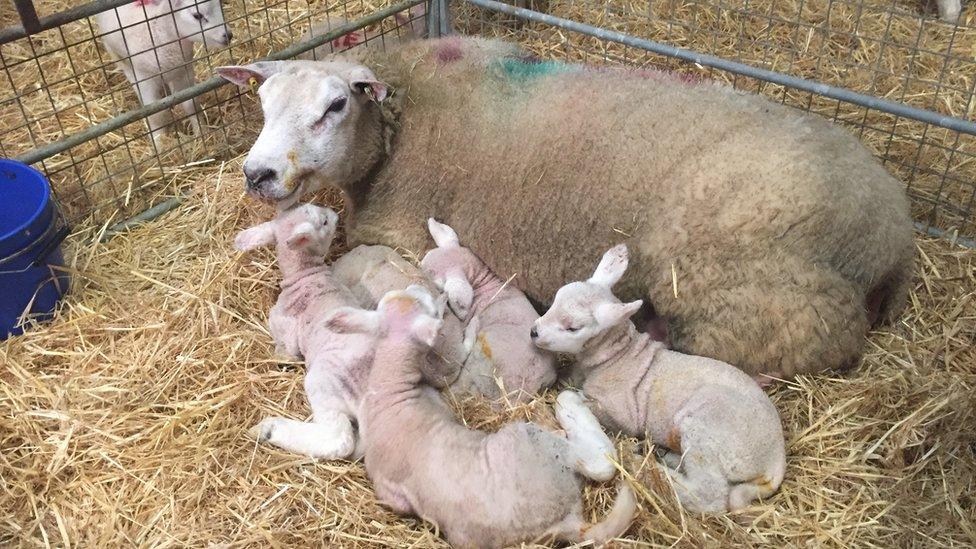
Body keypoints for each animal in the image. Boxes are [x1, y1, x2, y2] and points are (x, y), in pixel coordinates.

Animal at [96, 0, 232, 147]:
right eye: (197, 15)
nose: (229, 35)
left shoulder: (184, 71)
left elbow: (191, 104)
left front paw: (201, 132)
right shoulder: (144, 78)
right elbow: (156, 115)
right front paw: (160, 144)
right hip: (117, 55)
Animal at [214, 35, 914, 381]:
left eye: (336, 104)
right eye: (263, 102)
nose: (258, 174)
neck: (397, 130)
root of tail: (891, 234)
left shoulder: (401, 231)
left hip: (755, 297)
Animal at [324, 287, 636, 548]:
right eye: (431, 308)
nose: (436, 294)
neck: (390, 389)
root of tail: (567, 521)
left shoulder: (387, 487)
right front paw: (471, 324)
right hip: (533, 439)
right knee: (599, 462)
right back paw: (570, 408)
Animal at [532, 244, 786, 514]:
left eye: (572, 328)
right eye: (556, 298)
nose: (533, 332)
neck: (616, 355)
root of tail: (776, 461)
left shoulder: (622, 414)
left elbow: (568, 397)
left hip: (707, 427)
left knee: (709, 495)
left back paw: (647, 468)